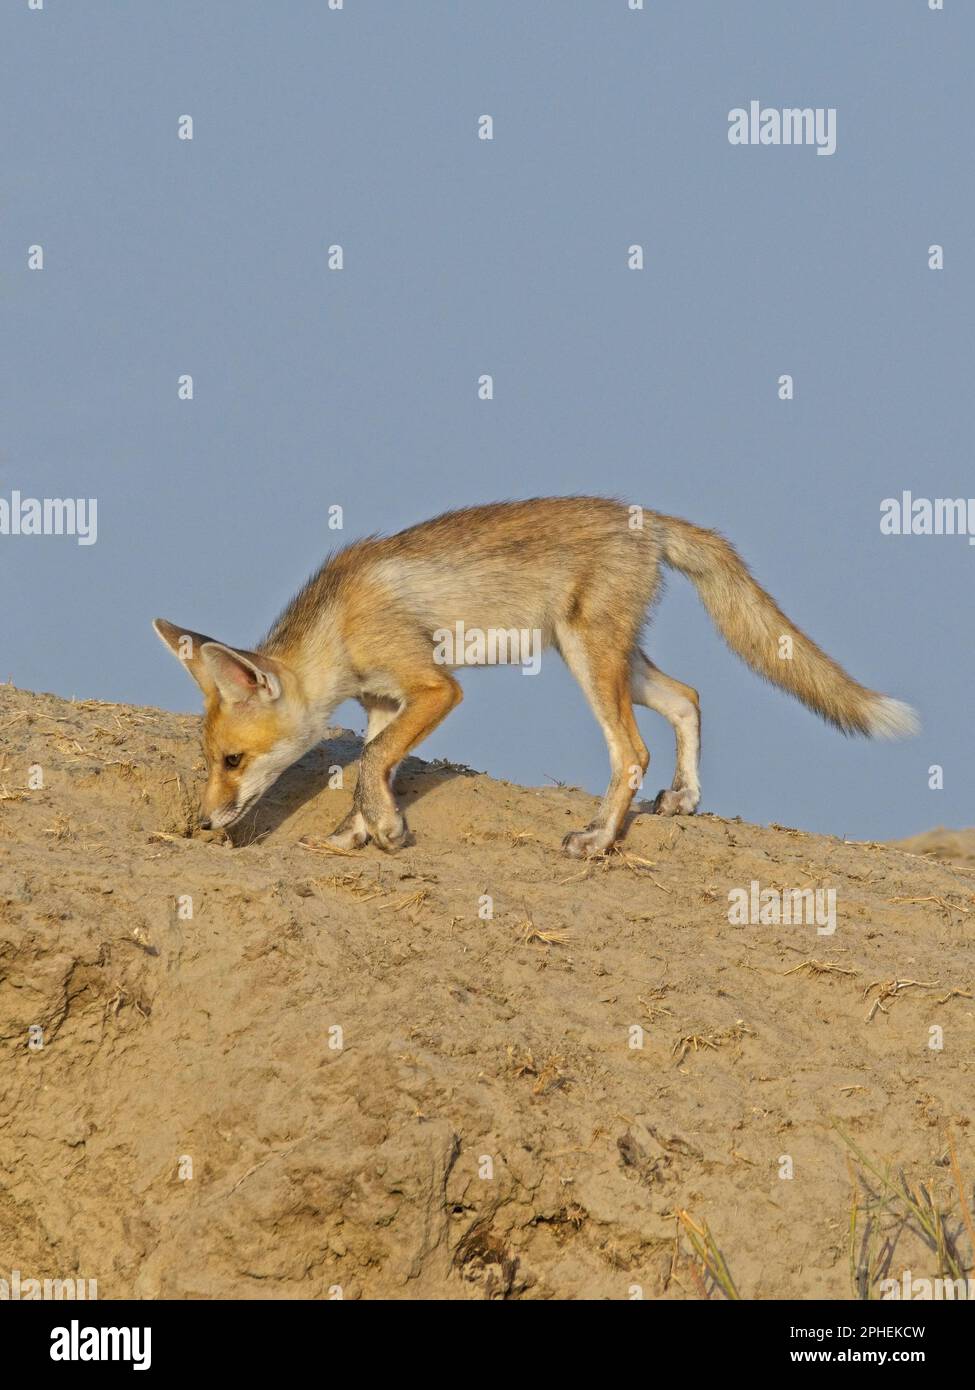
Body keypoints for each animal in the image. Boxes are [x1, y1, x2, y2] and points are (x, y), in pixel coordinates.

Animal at [154, 496, 918, 858]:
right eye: (211, 761)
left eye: (231, 761)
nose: (205, 820)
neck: (339, 626)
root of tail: (644, 517)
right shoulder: (383, 702)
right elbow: (372, 770)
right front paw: (356, 835)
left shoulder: (435, 688)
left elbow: (371, 764)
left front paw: (387, 833)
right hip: (614, 659)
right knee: (688, 698)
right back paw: (684, 798)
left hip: (588, 658)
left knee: (632, 751)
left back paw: (599, 840)